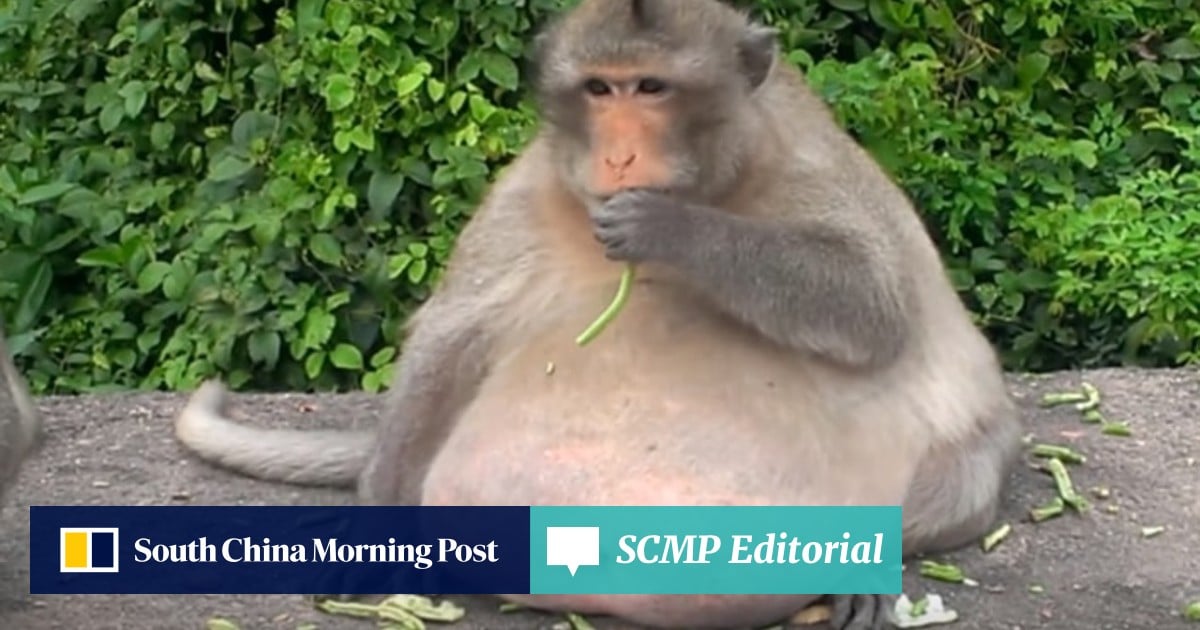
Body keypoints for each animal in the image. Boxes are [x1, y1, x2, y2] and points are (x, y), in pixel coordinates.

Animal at [173, 0, 1023, 628]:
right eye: (598, 89)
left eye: (651, 88)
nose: (618, 156)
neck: (715, 179)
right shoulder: (532, 190)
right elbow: (450, 337)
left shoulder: (806, 159)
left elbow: (872, 302)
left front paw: (671, 230)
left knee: (961, 479)